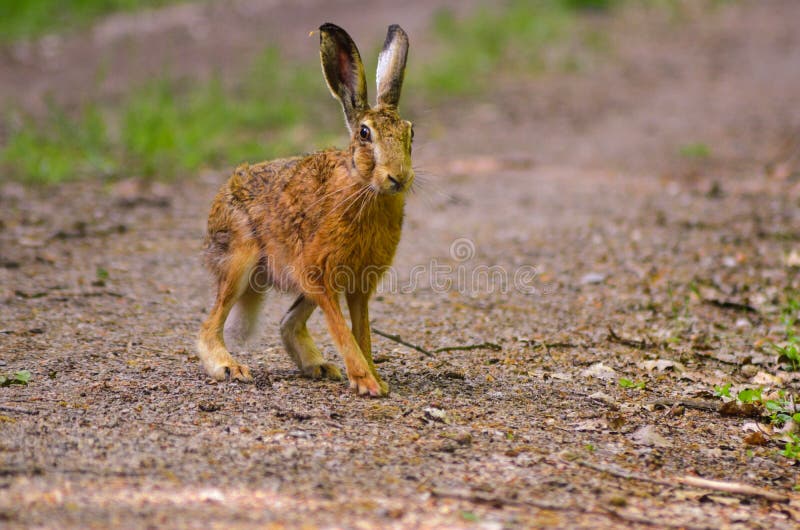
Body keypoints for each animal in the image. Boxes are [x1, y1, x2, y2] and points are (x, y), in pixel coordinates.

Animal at [197, 23, 413, 397]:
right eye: (365, 134)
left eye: (410, 133)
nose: (398, 177)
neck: (363, 188)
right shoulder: (320, 275)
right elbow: (343, 331)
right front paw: (367, 382)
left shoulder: (359, 285)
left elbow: (362, 332)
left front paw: (376, 378)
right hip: (241, 259)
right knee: (210, 324)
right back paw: (229, 367)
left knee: (287, 322)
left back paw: (320, 366)